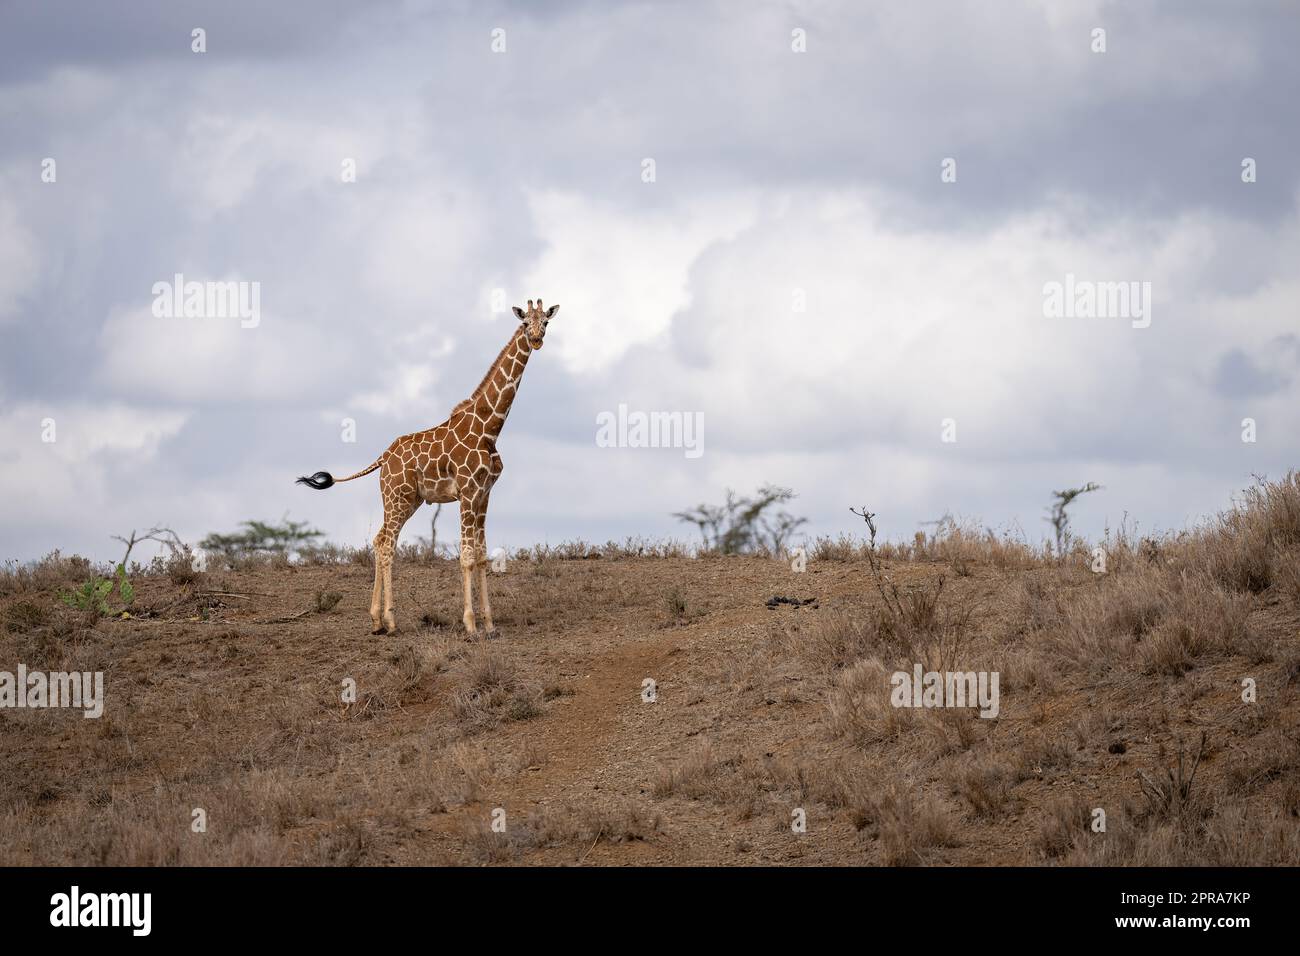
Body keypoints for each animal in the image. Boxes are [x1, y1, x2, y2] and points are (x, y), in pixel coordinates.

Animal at [297, 299, 559, 636]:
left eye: (546, 322)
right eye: (526, 323)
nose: (537, 340)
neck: (490, 428)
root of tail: (383, 458)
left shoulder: (484, 494)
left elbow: (482, 555)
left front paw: (489, 624)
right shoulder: (467, 493)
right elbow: (466, 556)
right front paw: (470, 625)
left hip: (411, 500)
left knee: (380, 539)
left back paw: (376, 620)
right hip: (396, 497)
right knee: (387, 543)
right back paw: (390, 621)